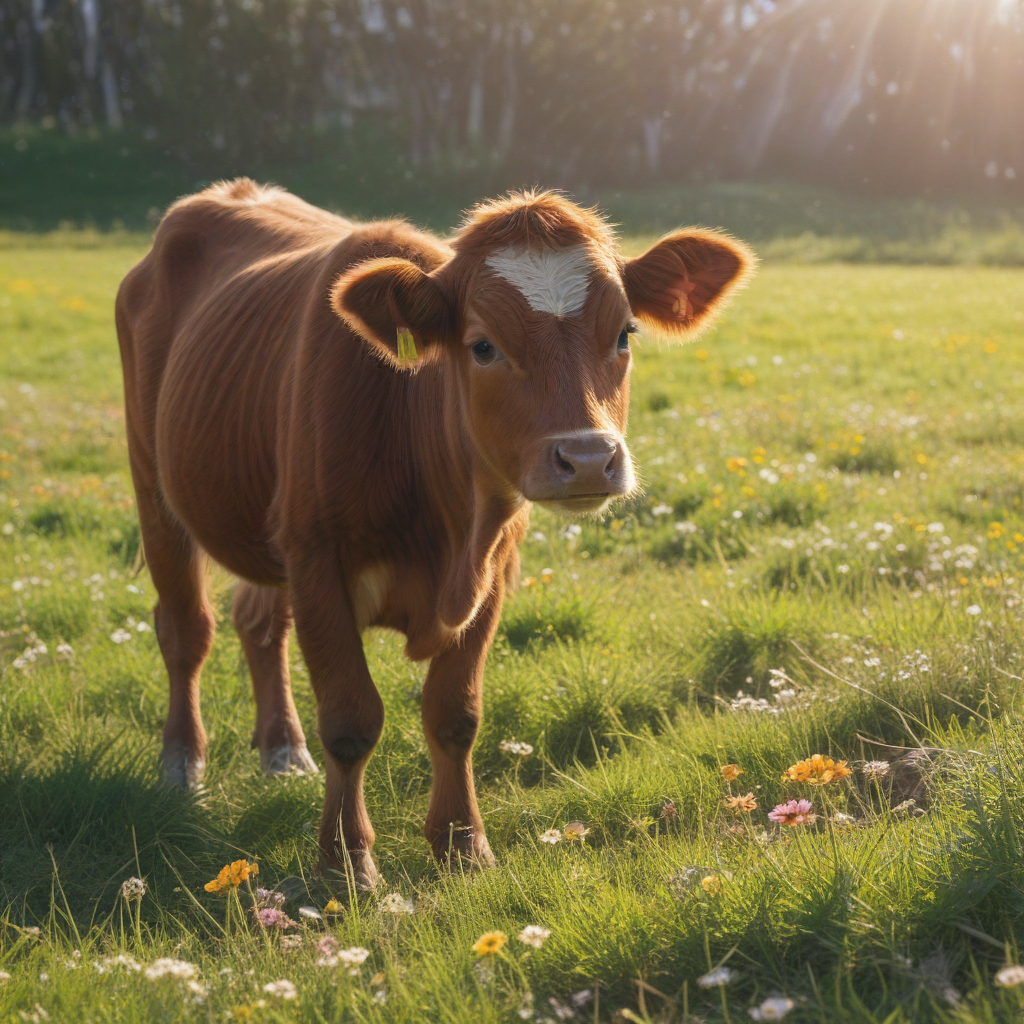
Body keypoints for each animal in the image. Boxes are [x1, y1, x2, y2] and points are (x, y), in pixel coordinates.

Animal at [115, 180, 753, 888]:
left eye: (624, 334)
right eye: (482, 345)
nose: (588, 459)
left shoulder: (494, 566)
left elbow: (455, 713)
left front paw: (461, 844)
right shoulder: (316, 559)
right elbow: (350, 718)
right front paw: (347, 864)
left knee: (258, 623)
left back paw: (282, 750)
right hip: (154, 484)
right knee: (186, 630)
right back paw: (182, 764)